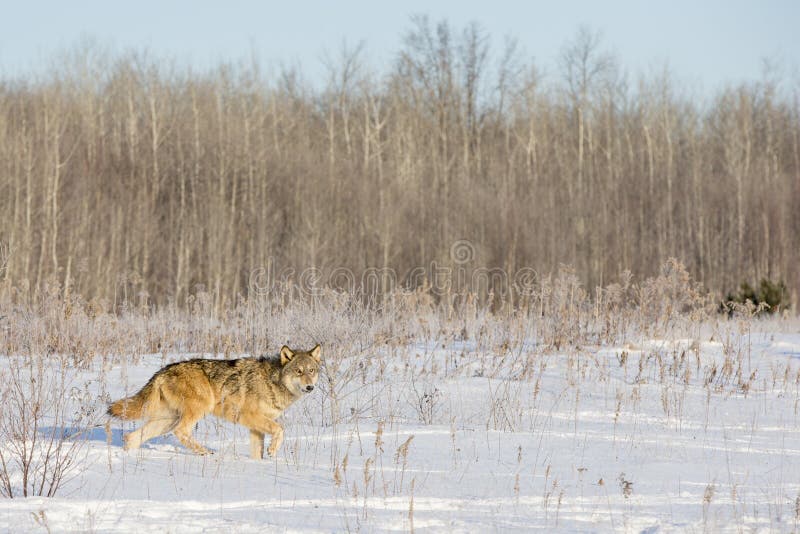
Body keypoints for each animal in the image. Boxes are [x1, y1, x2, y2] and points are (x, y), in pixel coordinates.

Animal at [107, 344, 321, 459]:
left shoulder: (255, 427)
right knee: (181, 432)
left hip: (165, 421)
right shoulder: (250, 417)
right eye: (298, 371)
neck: (273, 381)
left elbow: (257, 452)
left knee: (131, 437)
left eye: (311, 371)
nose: (310, 387)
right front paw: (273, 450)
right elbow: (280, 430)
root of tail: (163, 370)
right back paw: (205, 453)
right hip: (197, 410)